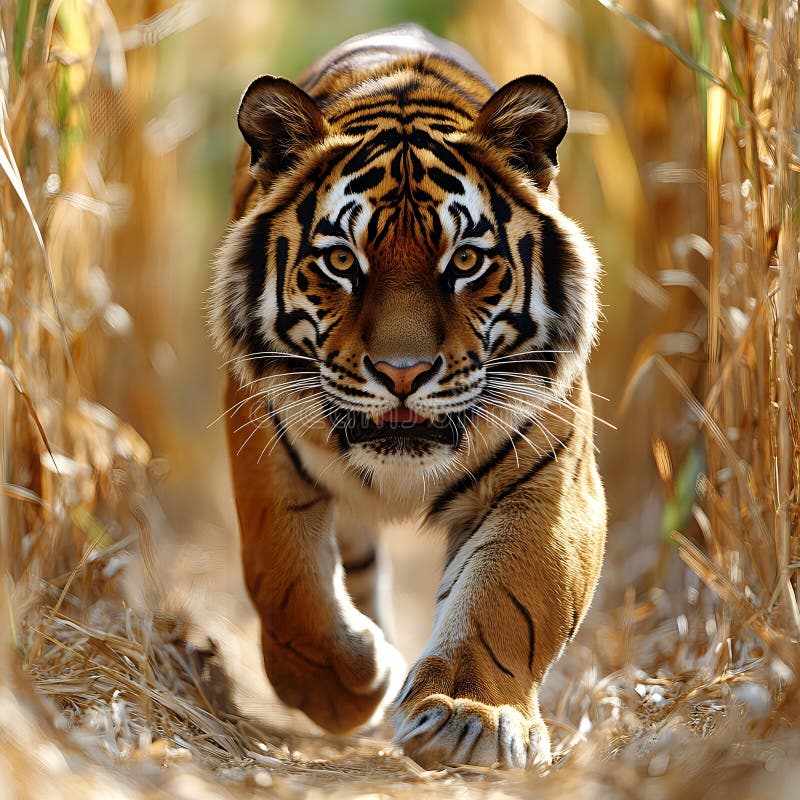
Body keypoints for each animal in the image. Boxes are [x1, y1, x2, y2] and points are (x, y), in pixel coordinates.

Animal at [209, 24, 606, 769]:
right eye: (342, 261)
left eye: (465, 261)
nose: (403, 372)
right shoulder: (266, 442)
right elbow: (286, 583)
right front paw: (345, 686)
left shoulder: (548, 471)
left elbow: (508, 599)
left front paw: (465, 716)